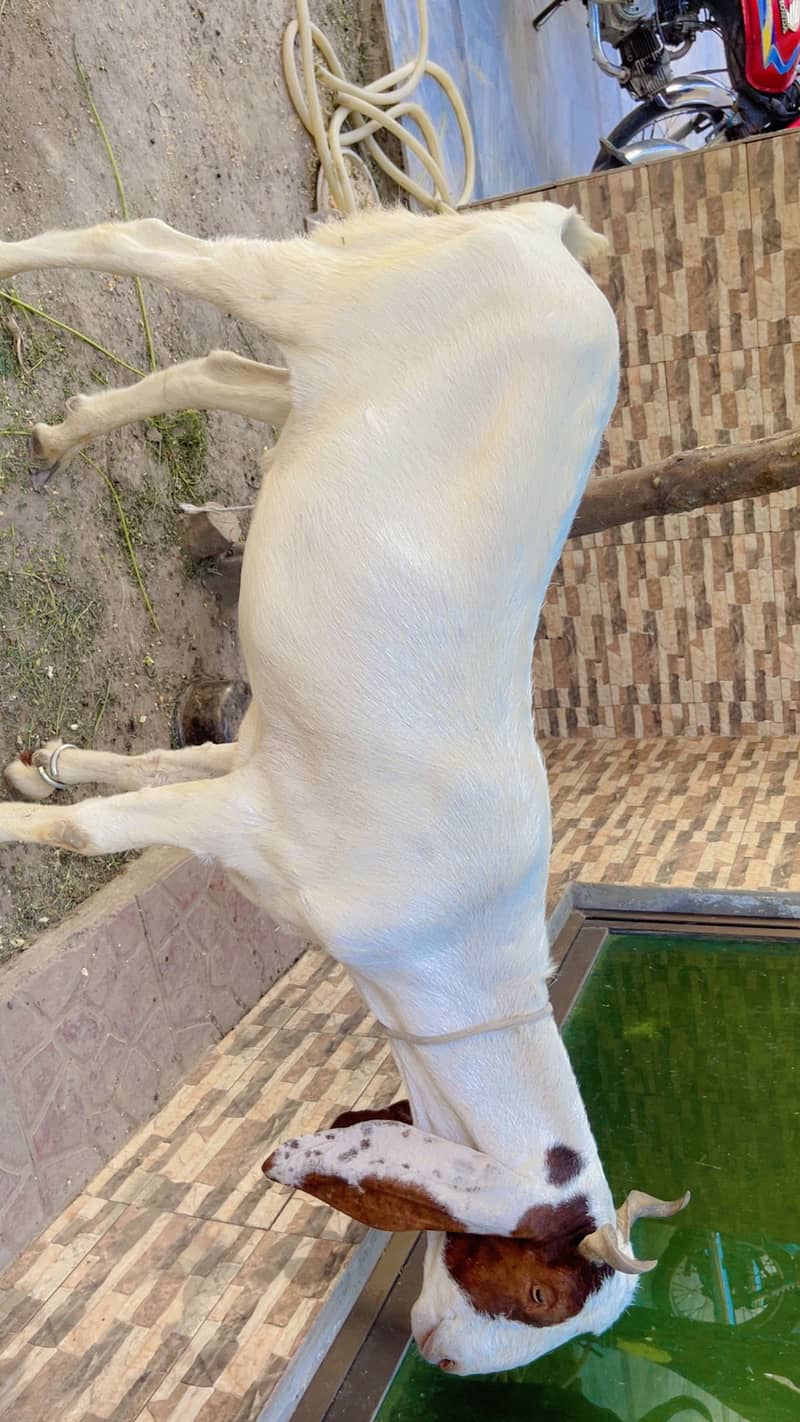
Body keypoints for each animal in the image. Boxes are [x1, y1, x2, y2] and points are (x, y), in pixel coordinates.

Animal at [0, 205, 689, 1375]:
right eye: (539, 1295)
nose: (440, 1359)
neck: (444, 952)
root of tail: (545, 233)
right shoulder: (255, 821)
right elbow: (94, 831)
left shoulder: (256, 766)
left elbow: (139, 775)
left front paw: (38, 763)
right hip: (332, 295)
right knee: (153, 245)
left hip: (331, 371)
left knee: (231, 372)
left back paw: (61, 434)